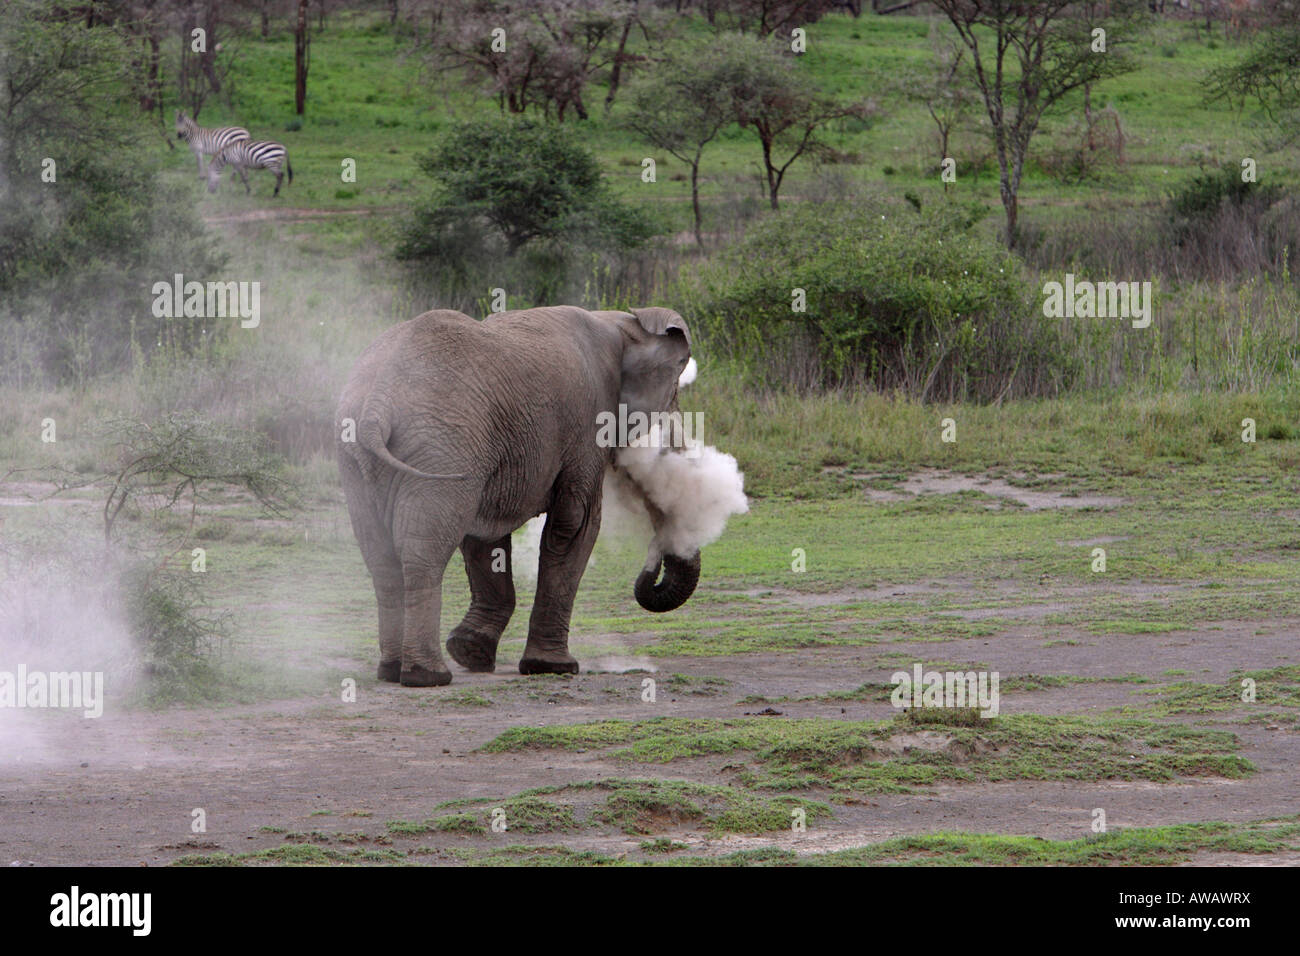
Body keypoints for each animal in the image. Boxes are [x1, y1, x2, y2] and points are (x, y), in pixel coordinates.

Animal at [336, 305, 701, 686]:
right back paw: (428, 676)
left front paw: (471, 652)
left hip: (359, 455)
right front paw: (553, 667)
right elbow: (576, 525)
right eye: (672, 399)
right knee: (424, 553)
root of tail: (378, 401)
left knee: (381, 558)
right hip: (441, 446)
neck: (620, 322)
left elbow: (485, 537)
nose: (651, 567)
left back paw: (392, 671)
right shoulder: (587, 427)